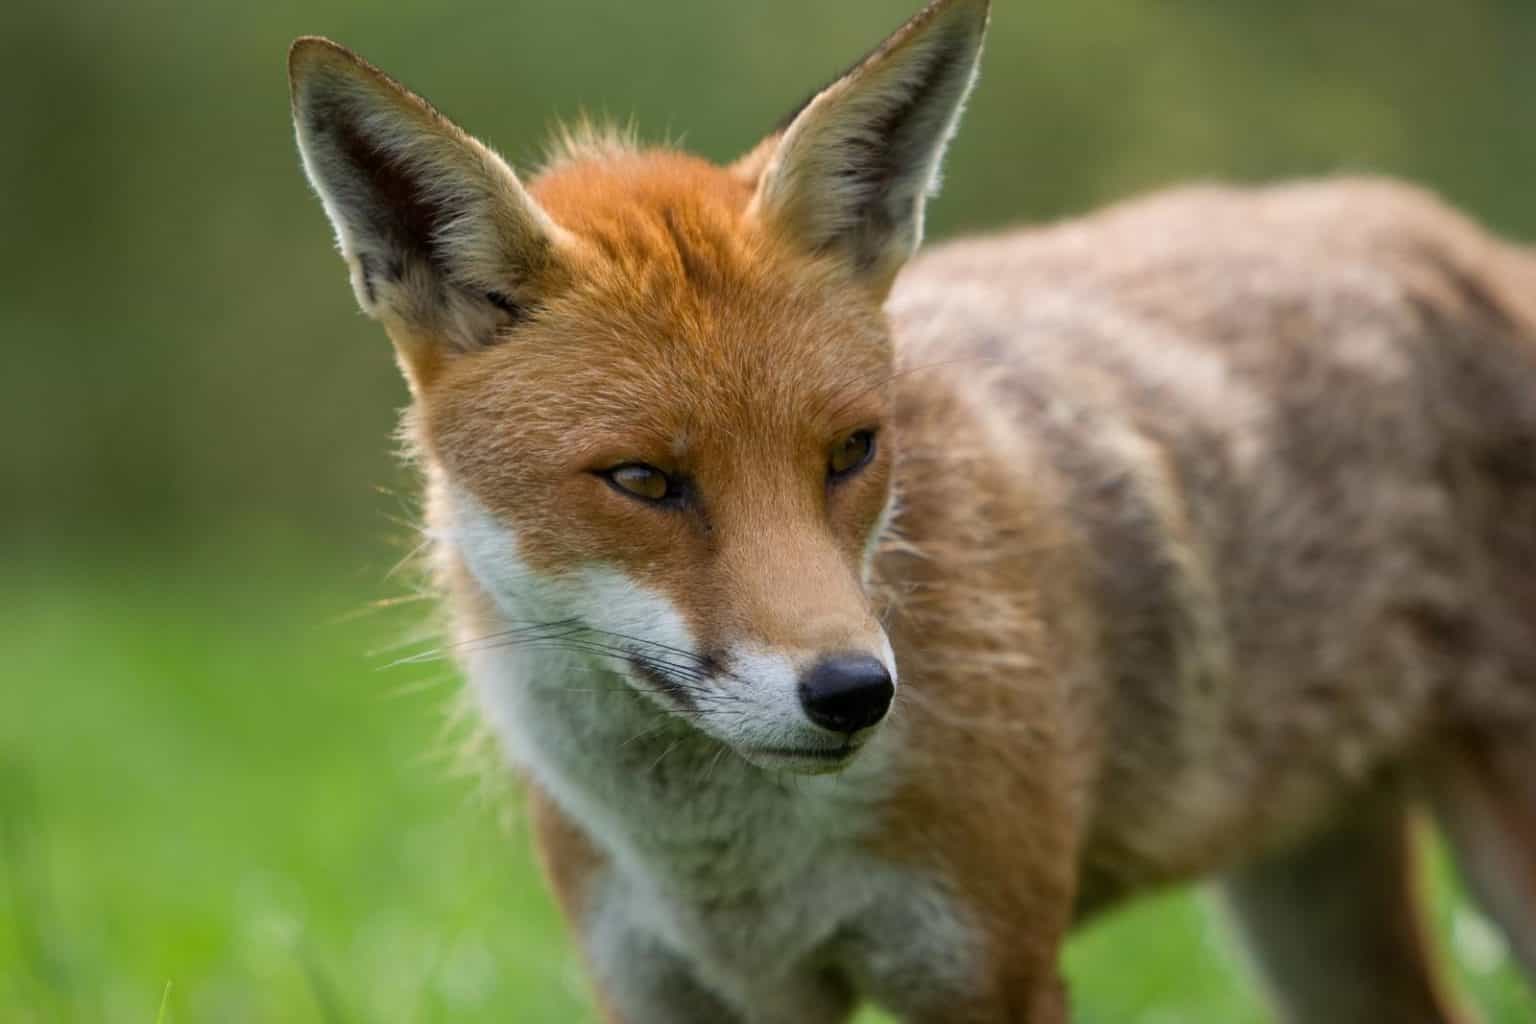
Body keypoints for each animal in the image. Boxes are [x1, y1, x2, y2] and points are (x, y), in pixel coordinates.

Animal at [287, 0, 1536, 1020]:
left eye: (851, 451)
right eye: (642, 480)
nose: (854, 692)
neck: (730, 874)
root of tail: (1458, 237)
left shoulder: (989, 969)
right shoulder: (669, 988)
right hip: (1305, 908)